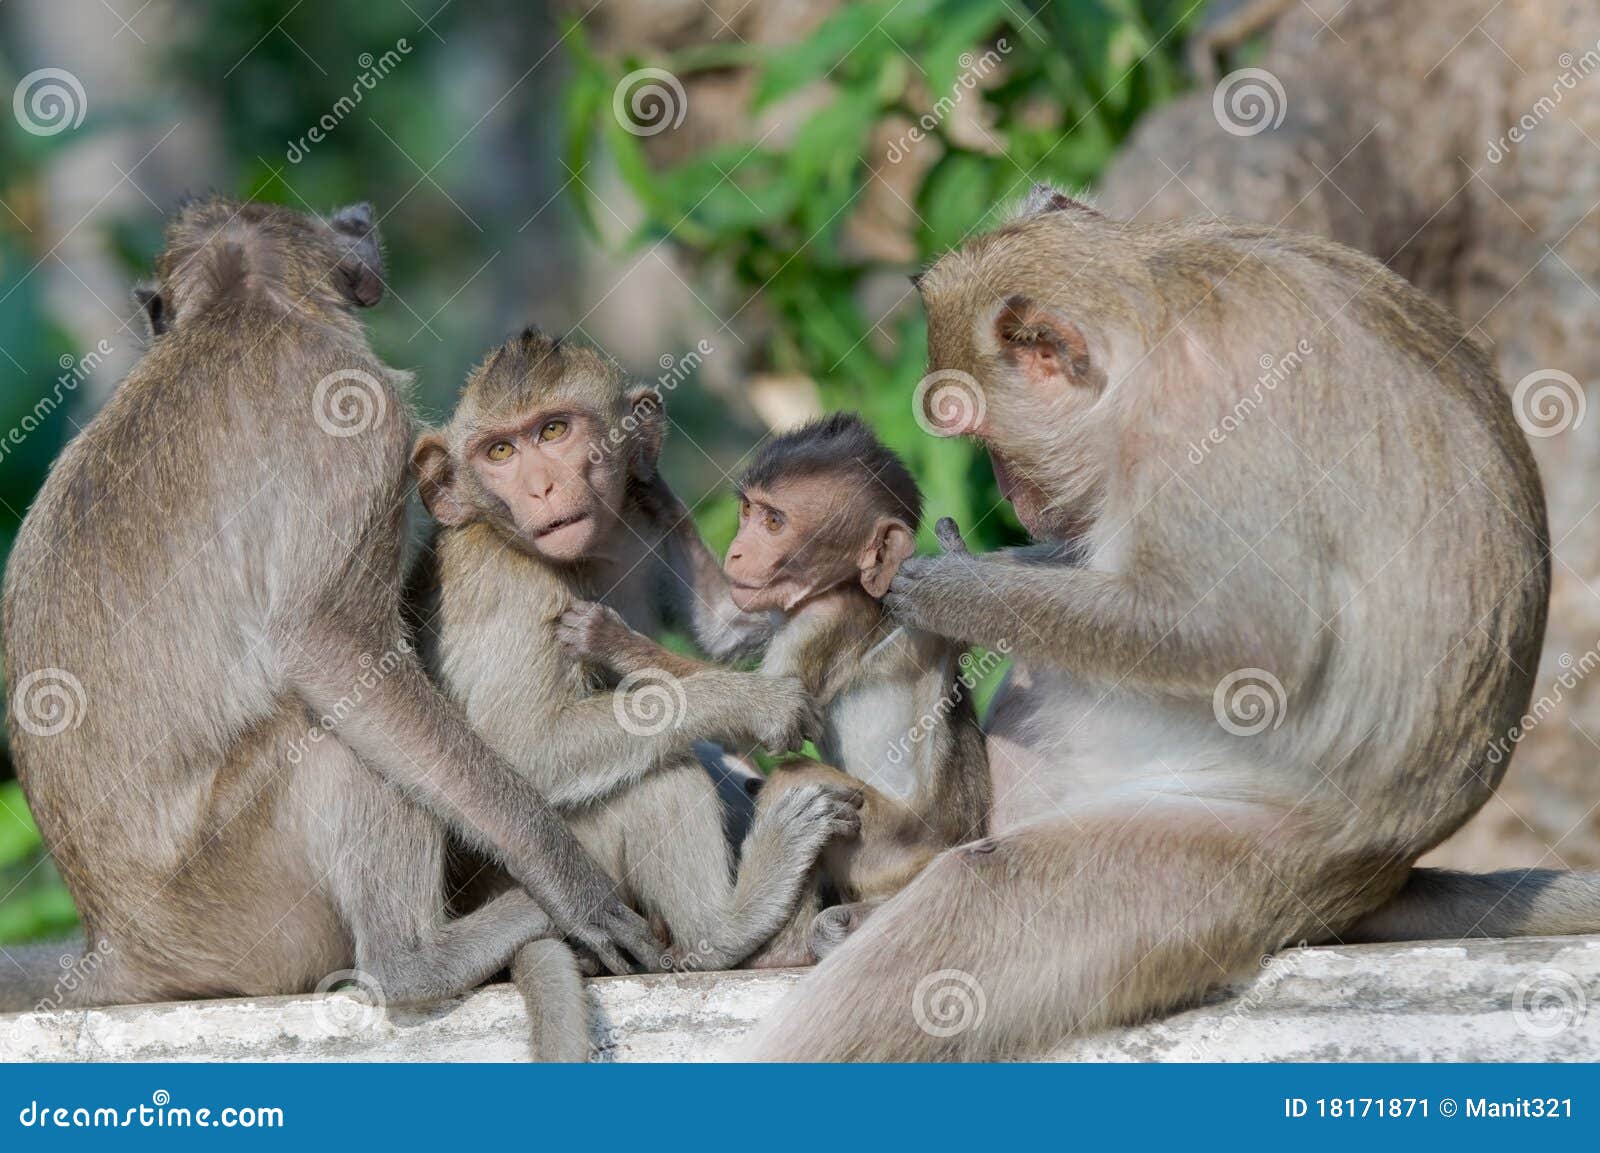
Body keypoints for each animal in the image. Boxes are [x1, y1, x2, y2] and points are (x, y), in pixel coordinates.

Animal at [0, 198, 664, 1019]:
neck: (241, 306)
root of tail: (119, 949)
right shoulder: (362, 416)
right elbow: (330, 646)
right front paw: (566, 876)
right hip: (246, 906)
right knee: (329, 723)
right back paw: (417, 963)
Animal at [407, 330, 863, 1053]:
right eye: (500, 452)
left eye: (554, 430)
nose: (541, 486)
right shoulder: (512, 583)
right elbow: (524, 746)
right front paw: (759, 704)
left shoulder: (641, 527)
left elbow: (725, 625)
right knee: (656, 768)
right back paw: (728, 929)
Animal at [559, 412, 991, 963]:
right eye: (747, 511)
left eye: (774, 523)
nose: (739, 551)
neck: (846, 585)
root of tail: (953, 848)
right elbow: (728, 628)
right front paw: (650, 484)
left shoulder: (823, 620)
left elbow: (775, 714)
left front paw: (608, 639)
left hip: (890, 845)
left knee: (795, 776)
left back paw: (773, 947)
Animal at [739, 188, 1600, 1061]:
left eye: (987, 439)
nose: (1009, 493)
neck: (1152, 322)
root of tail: (1373, 876)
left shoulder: (1213, 424)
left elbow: (1251, 641)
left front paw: (955, 590)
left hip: (1235, 863)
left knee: (977, 902)